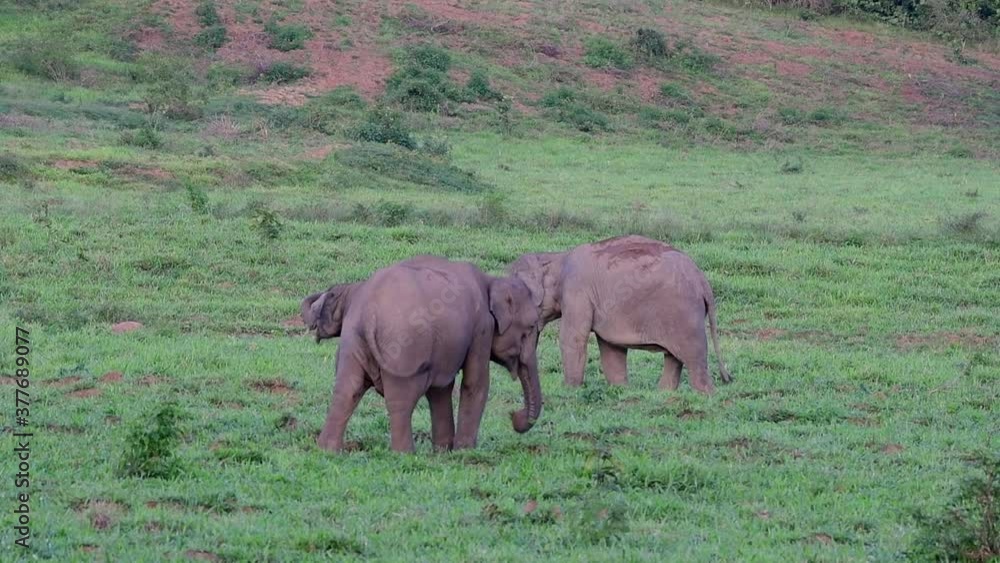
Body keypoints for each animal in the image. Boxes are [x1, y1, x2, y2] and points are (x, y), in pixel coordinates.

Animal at [301, 256, 542, 453]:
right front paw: (463, 452)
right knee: (401, 400)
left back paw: (328, 450)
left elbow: (441, 389)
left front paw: (443, 451)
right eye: (531, 328)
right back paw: (404, 454)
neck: (490, 280)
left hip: (353, 342)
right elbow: (475, 383)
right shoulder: (482, 328)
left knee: (346, 389)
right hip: (405, 349)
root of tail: (370, 313)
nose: (514, 415)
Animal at [508, 235, 732, 394]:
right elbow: (611, 348)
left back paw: (706, 395)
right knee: (673, 357)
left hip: (684, 314)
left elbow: (572, 338)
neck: (556, 258)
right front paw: (620, 390)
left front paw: (569, 391)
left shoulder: (576, 292)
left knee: (693, 357)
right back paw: (663, 394)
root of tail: (703, 281)